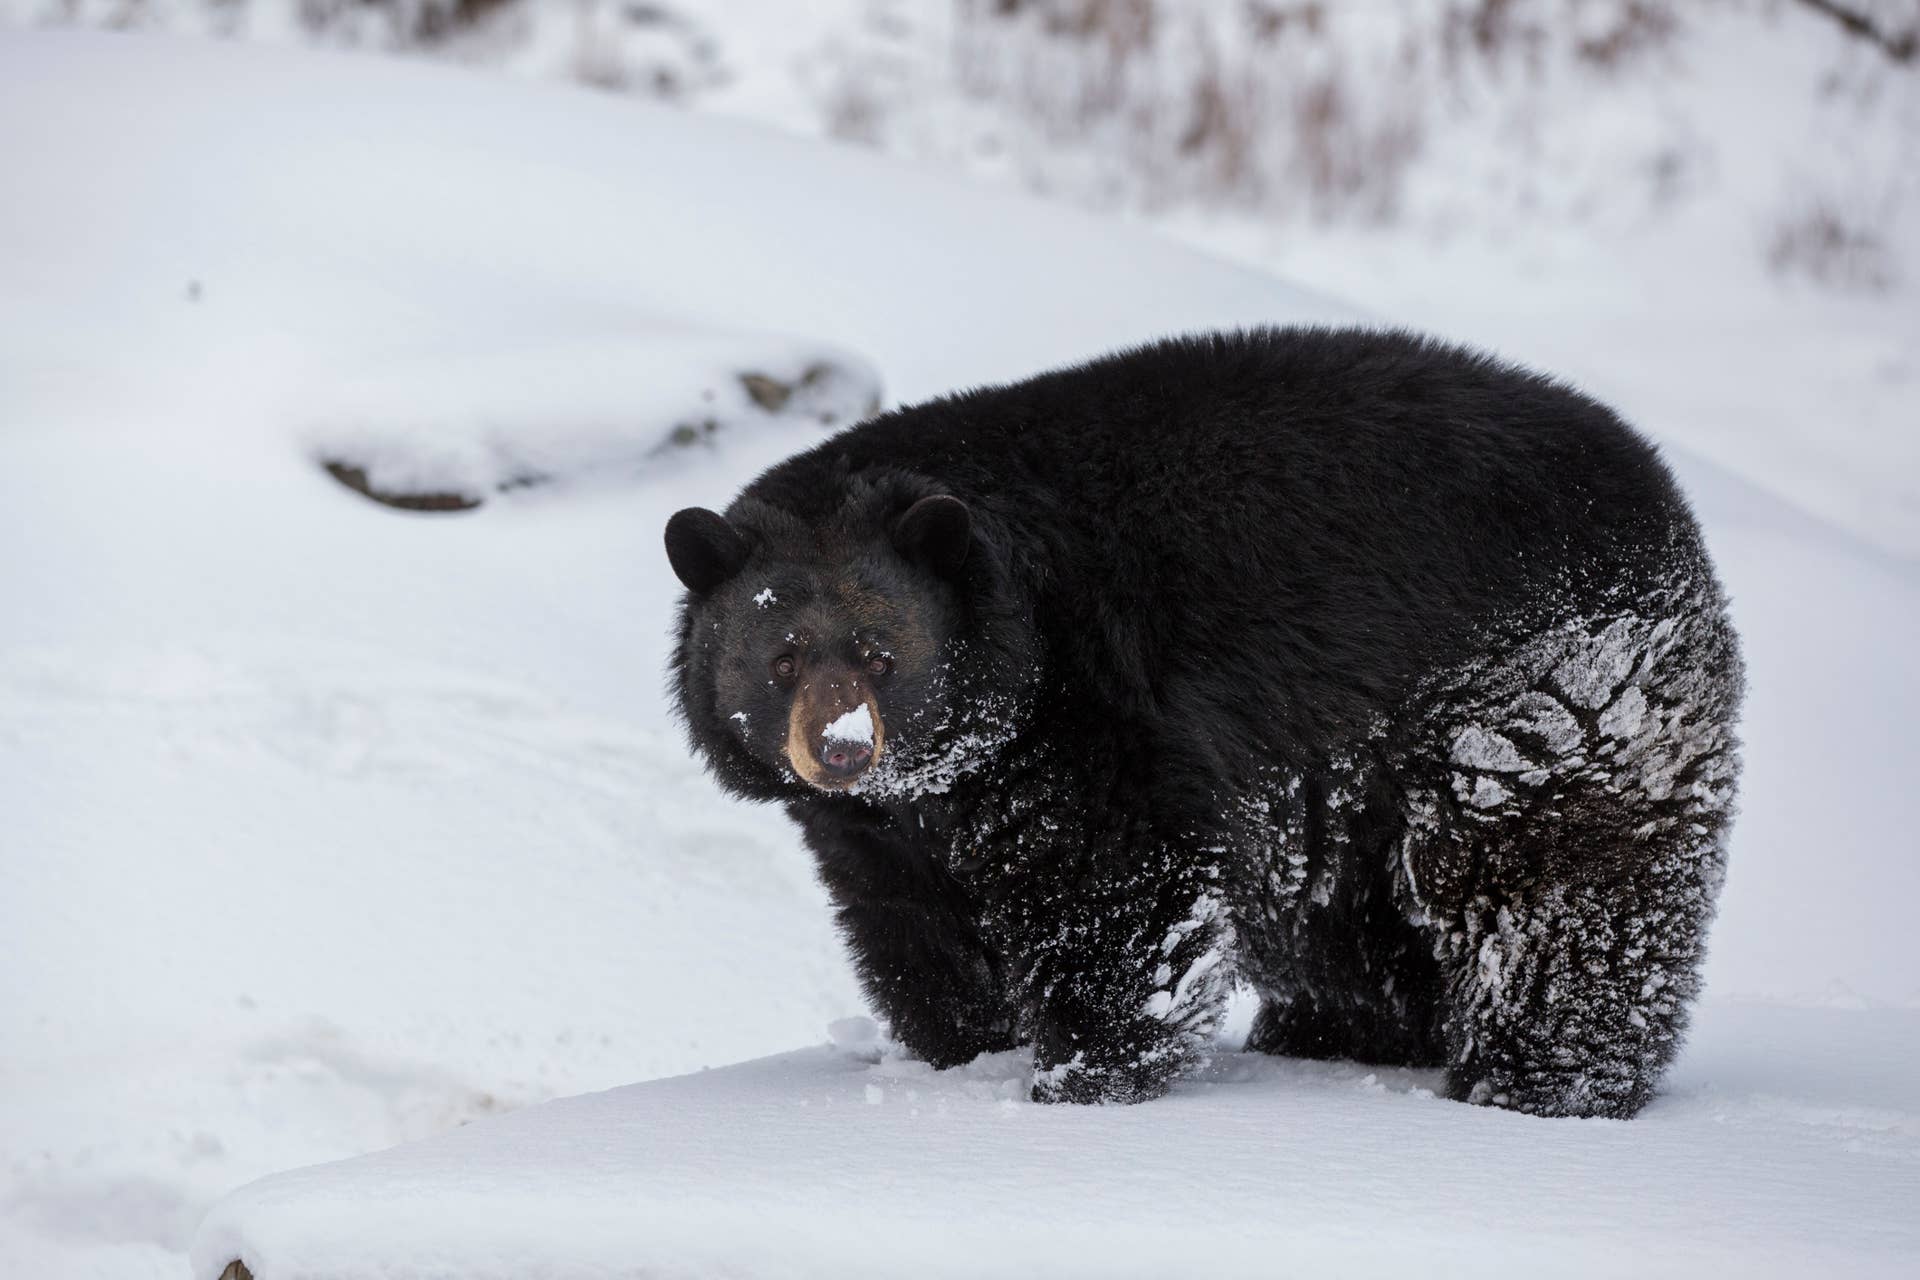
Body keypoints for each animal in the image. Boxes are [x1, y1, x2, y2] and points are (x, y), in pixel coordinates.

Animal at [665, 326, 1742, 1118]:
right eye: (781, 656)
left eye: (882, 654)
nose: (841, 748)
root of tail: (1665, 494)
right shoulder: (873, 829)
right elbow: (913, 929)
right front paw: (964, 1057)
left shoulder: (1092, 709)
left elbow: (1121, 890)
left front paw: (1081, 1076)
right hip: (1358, 780)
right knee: (1350, 921)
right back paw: (1335, 1036)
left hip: (1544, 690)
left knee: (1553, 886)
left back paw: (1541, 1079)